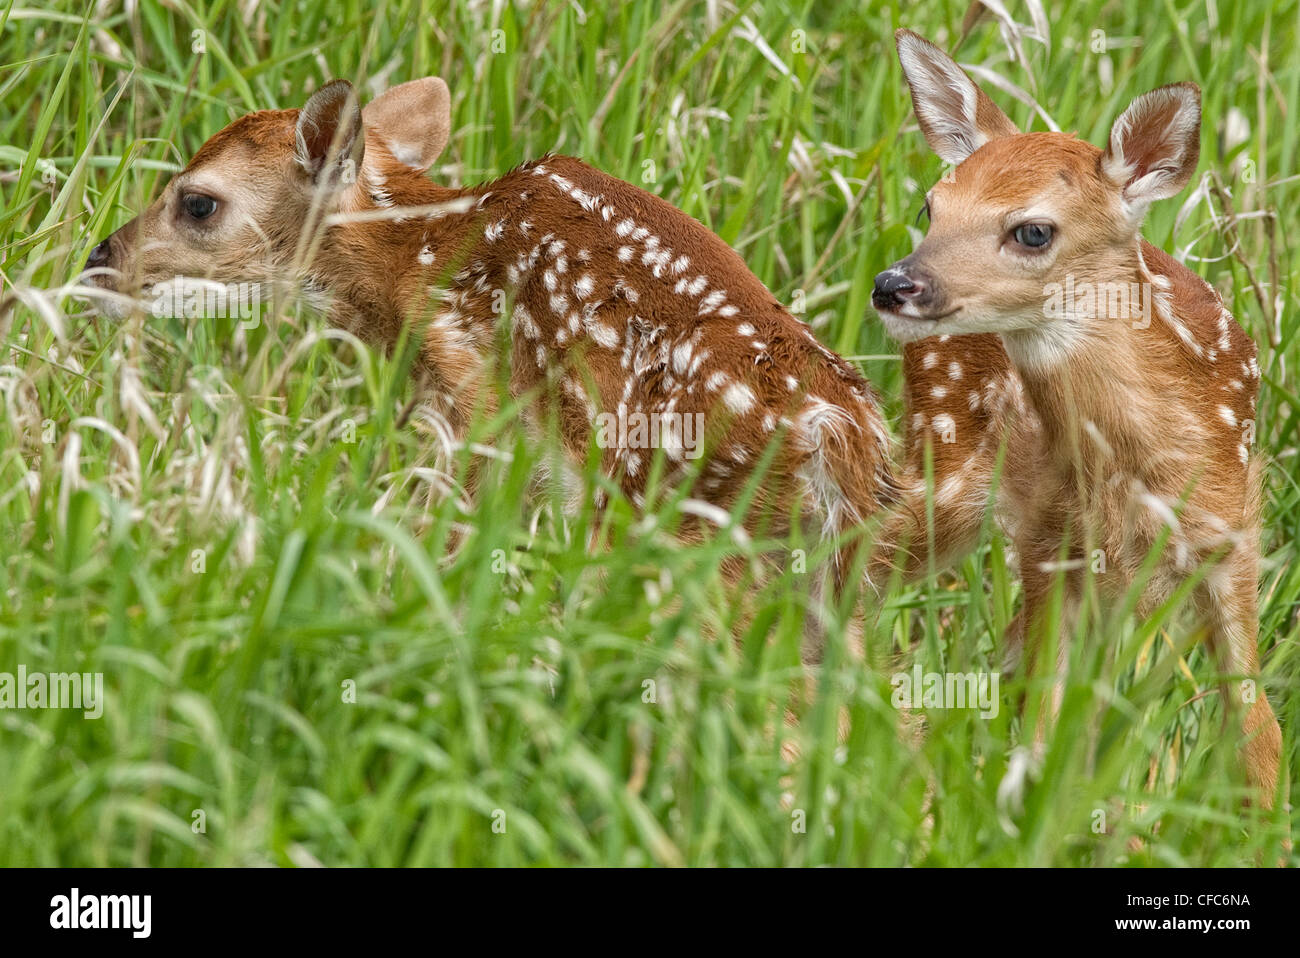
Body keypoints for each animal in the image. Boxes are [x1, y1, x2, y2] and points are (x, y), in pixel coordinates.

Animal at [79, 76, 899, 642]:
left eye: (198, 202)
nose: (98, 259)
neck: (417, 260)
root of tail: (842, 435)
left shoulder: (476, 401)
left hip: (679, 522)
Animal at [870, 30, 1283, 815]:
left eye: (1033, 231)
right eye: (932, 205)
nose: (894, 284)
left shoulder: (1233, 536)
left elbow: (1257, 733)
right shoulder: (1048, 537)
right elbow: (1046, 722)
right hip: (947, 464)